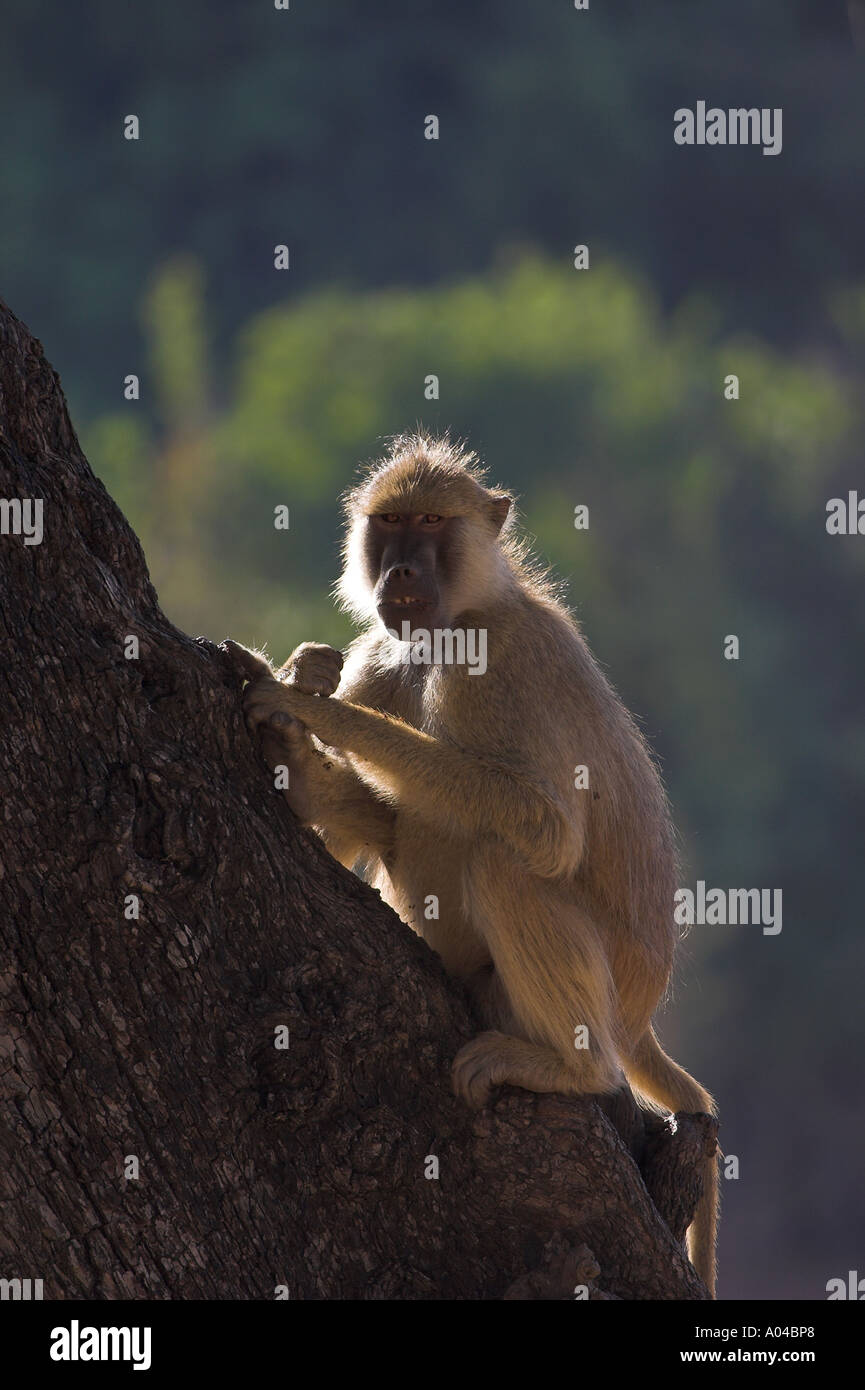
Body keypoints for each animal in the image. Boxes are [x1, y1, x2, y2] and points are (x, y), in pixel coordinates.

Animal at [226, 432, 719, 1294]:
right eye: (389, 523)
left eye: (430, 522)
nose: (397, 573)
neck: (453, 620)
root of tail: (638, 1016)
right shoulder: (384, 656)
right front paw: (298, 706)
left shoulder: (497, 664)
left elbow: (546, 830)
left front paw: (315, 710)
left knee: (502, 861)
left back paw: (573, 1070)